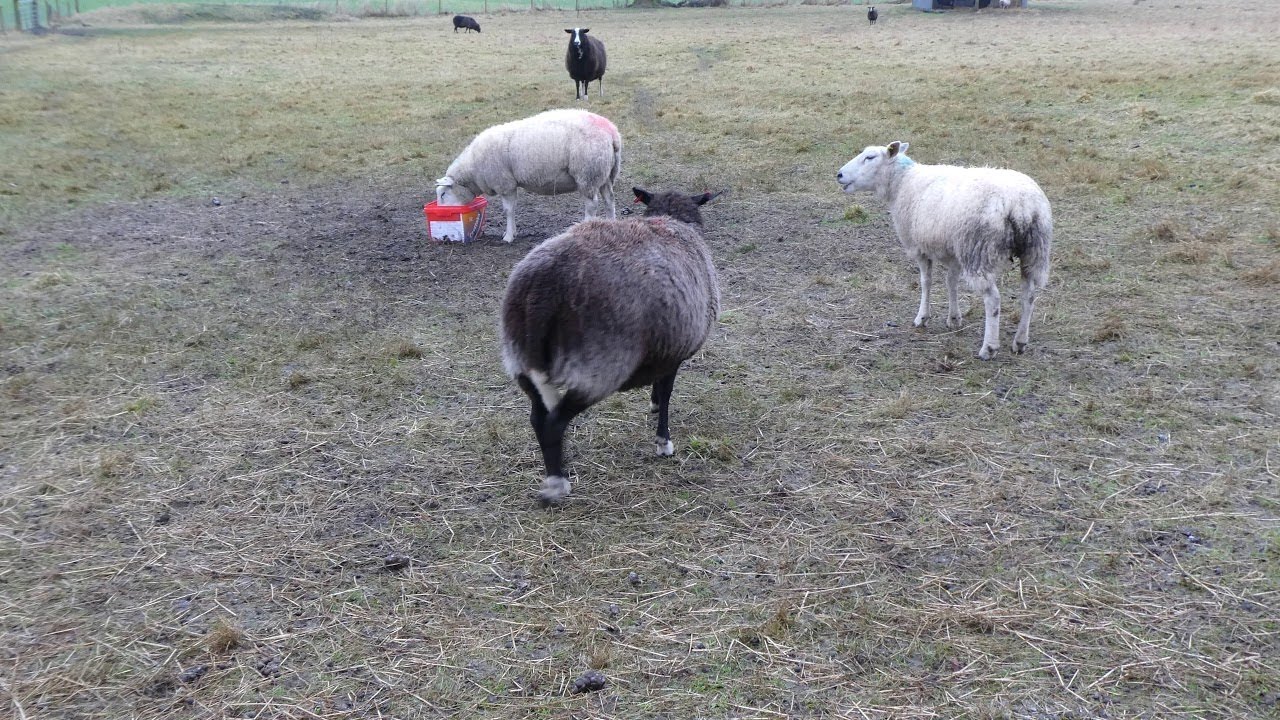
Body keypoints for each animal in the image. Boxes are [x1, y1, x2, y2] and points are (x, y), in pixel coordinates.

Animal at [435, 108, 622, 244]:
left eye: (443, 194)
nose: (442, 215)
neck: (473, 169)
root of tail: (611, 131)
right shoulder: (510, 184)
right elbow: (512, 209)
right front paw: (512, 232)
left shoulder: (505, 183)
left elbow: (508, 210)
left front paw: (508, 236)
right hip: (606, 174)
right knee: (610, 200)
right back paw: (612, 225)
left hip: (588, 174)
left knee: (591, 205)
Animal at [500, 187, 721, 504]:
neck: (672, 220)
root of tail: (542, 290)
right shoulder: (676, 350)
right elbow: (667, 393)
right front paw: (663, 443)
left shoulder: (664, 346)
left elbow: (659, 389)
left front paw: (653, 405)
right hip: (599, 366)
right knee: (554, 423)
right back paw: (557, 485)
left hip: (520, 360)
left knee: (537, 418)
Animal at [836, 141, 1052, 360]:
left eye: (870, 157)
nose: (839, 174)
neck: (902, 182)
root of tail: (1021, 205)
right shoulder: (953, 250)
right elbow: (951, 282)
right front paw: (954, 318)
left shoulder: (919, 248)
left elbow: (926, 281)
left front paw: (922, 317)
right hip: (1035, 251)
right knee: (1029, 295)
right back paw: (1020, 341)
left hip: (978, 250)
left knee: (993, 299)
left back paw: (988, 348)